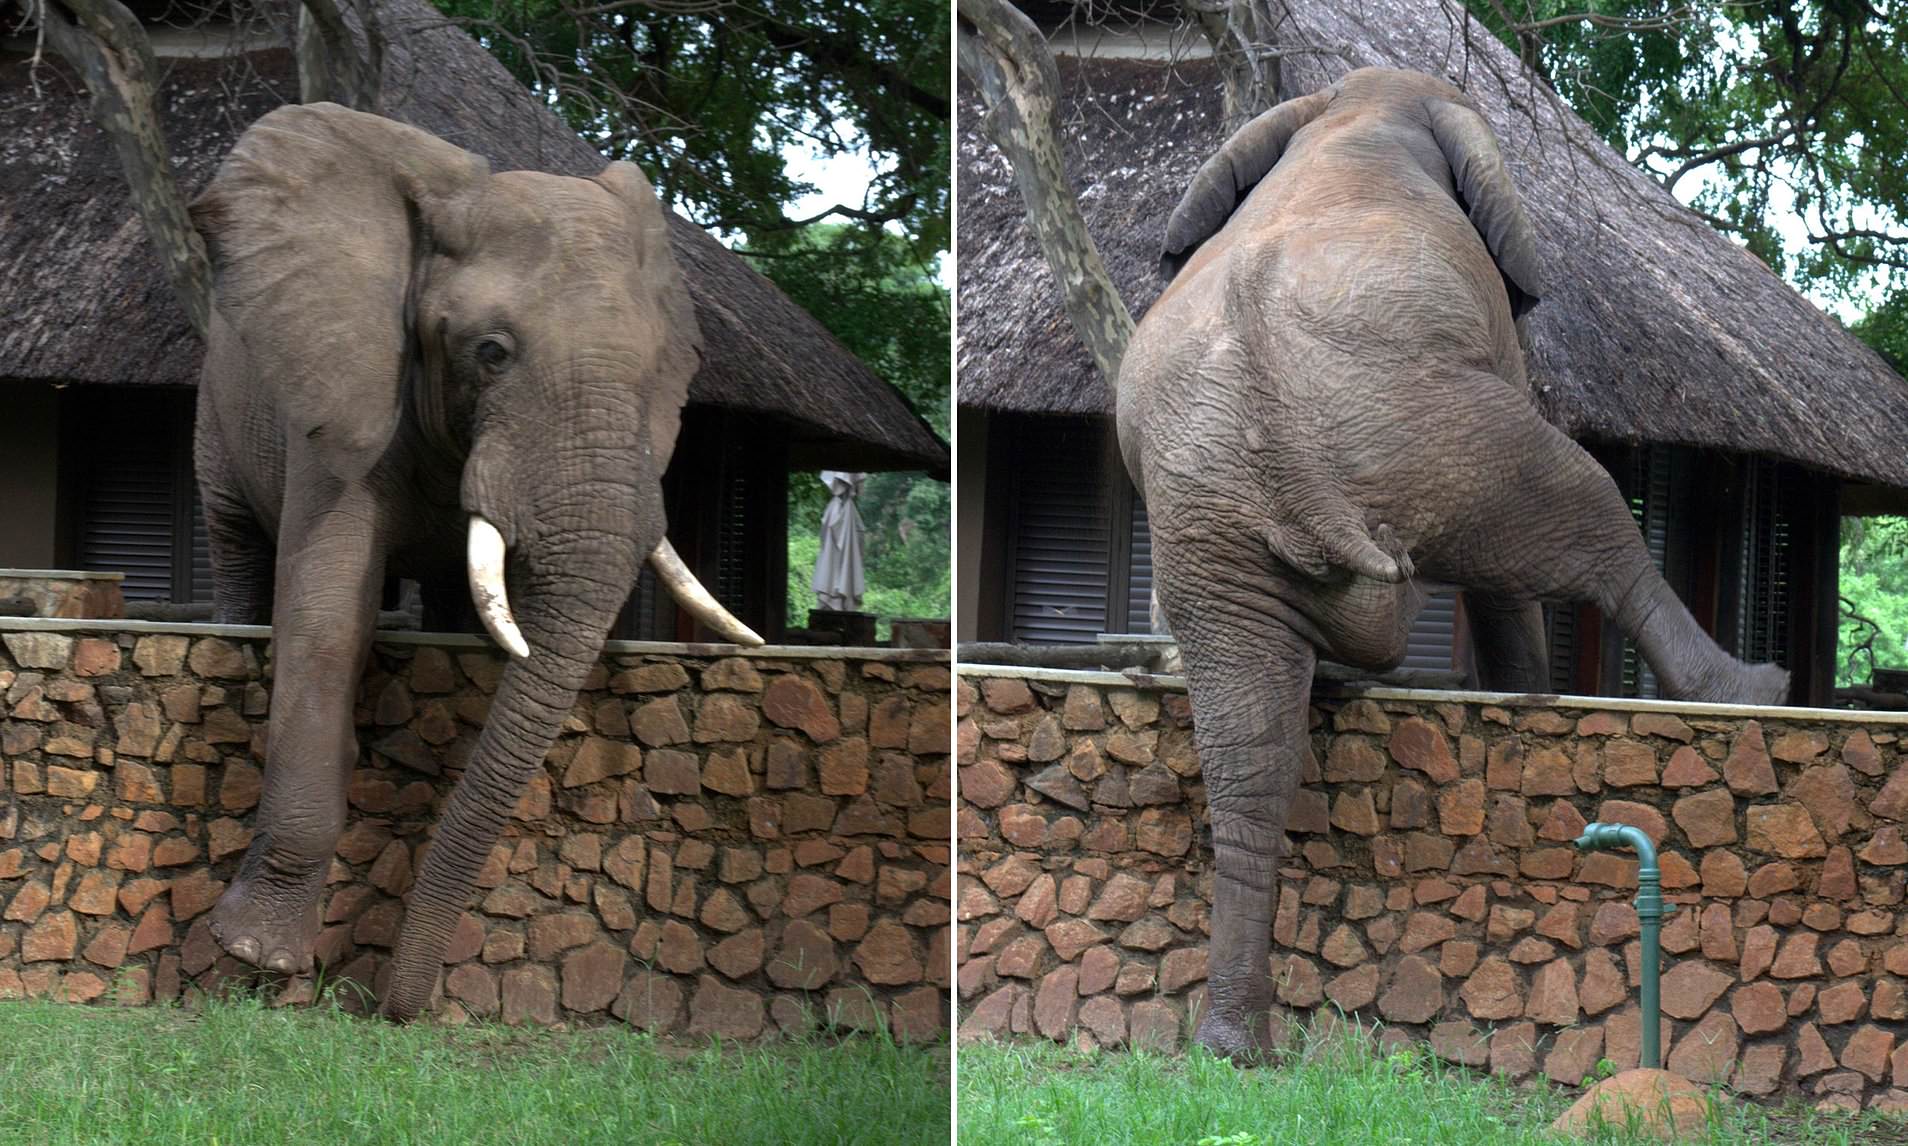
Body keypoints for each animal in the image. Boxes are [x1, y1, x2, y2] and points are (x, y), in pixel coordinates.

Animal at [187, 102, 762, 1021]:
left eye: (660, 373)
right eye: (491, 352)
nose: (389, 1007)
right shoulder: (348, 389)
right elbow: (323, 618)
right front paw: (255, 957)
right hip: (218, 405)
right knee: (237, 543)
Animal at [1115, 67, 1788, 1059]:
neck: (1355, 110)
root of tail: (1274, 402)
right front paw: (1529, 693)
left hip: (1213, 525)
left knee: (1248, 750)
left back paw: (1234, 1048)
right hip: (1445, 434)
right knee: (1587, 509)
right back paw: (1751, 689)